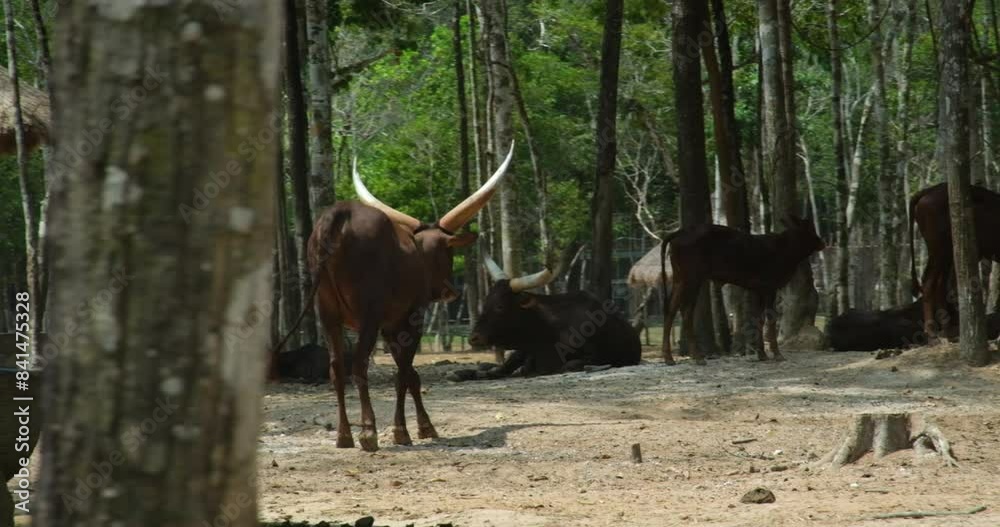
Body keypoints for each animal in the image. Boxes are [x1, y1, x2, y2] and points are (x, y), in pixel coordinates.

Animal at [275, 143, 514, 452]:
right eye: (449, 252)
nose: (449, 292)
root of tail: (337, 215)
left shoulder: (389, 327)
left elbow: (409, 372)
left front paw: (424, 426)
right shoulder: (410, 319)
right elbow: (403, 373)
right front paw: (404, 431)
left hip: (327, 313)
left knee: (336, 367)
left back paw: (343, 435)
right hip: (368, 316)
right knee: (359, 364)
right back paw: (368, 433)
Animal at [660, 216, 825, 365]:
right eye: (810, 228)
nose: (822, 242)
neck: (788, 251)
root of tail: (678, 233)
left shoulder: (759, 288)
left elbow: (759, 318)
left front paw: (762, 354)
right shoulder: (770, 287)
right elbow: (770, 320)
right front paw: (777, 354)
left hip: (680, 278)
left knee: (671, 310)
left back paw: (669, 357)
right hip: (693, 278)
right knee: (686, 312)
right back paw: (697, 357)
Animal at [909, 182, 1000, 338]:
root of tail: (928, 191)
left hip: (946, 255)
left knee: (940, 284)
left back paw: (947, 329)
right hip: (940, 251)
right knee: (929, 282)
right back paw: (931, 331)